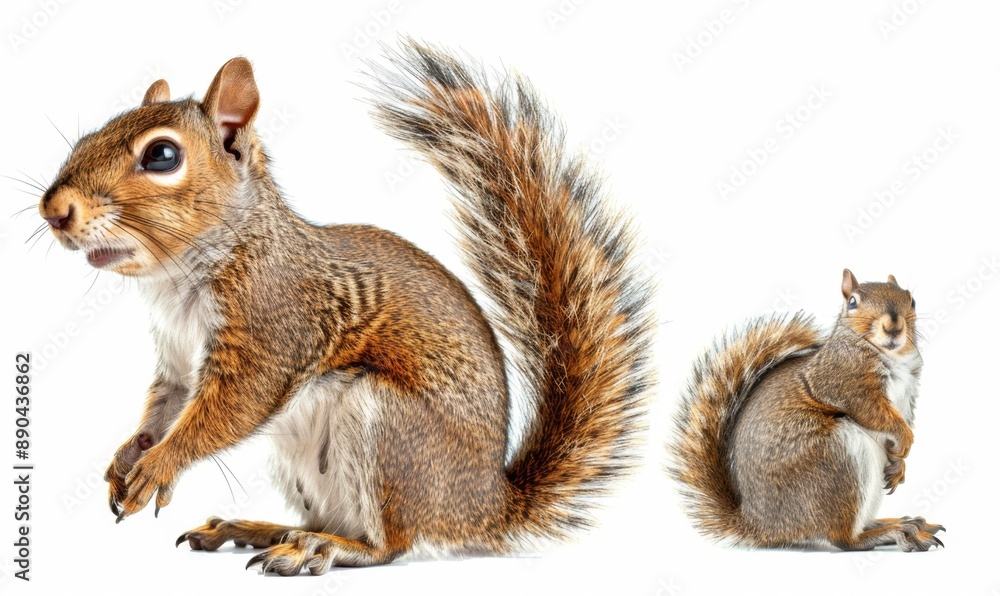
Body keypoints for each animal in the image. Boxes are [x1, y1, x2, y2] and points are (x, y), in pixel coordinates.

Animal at [37, 41, 654, 574]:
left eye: (162, 155)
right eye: (88, 136)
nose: (54, 209)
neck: (183, 275)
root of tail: (486, 506)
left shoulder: (273, 327)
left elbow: (227, 411)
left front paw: (159, 466)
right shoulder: (176, 360)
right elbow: (163, 409)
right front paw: (127, 457)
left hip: (386, 429)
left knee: (388, 544)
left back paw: (319, 549)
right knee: (330, 519)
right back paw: (261, 530)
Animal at [669, 269, 944, 552]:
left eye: (912, 301)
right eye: (852, 302)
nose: (893, 327)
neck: (891, 356)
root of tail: (763, 526)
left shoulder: (907, 394)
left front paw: (900, 464)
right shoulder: (842, 382)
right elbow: (873, 412)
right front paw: (905, 438)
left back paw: (905, 523)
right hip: (837, 463)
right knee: (843, 539)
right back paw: (896, 532)